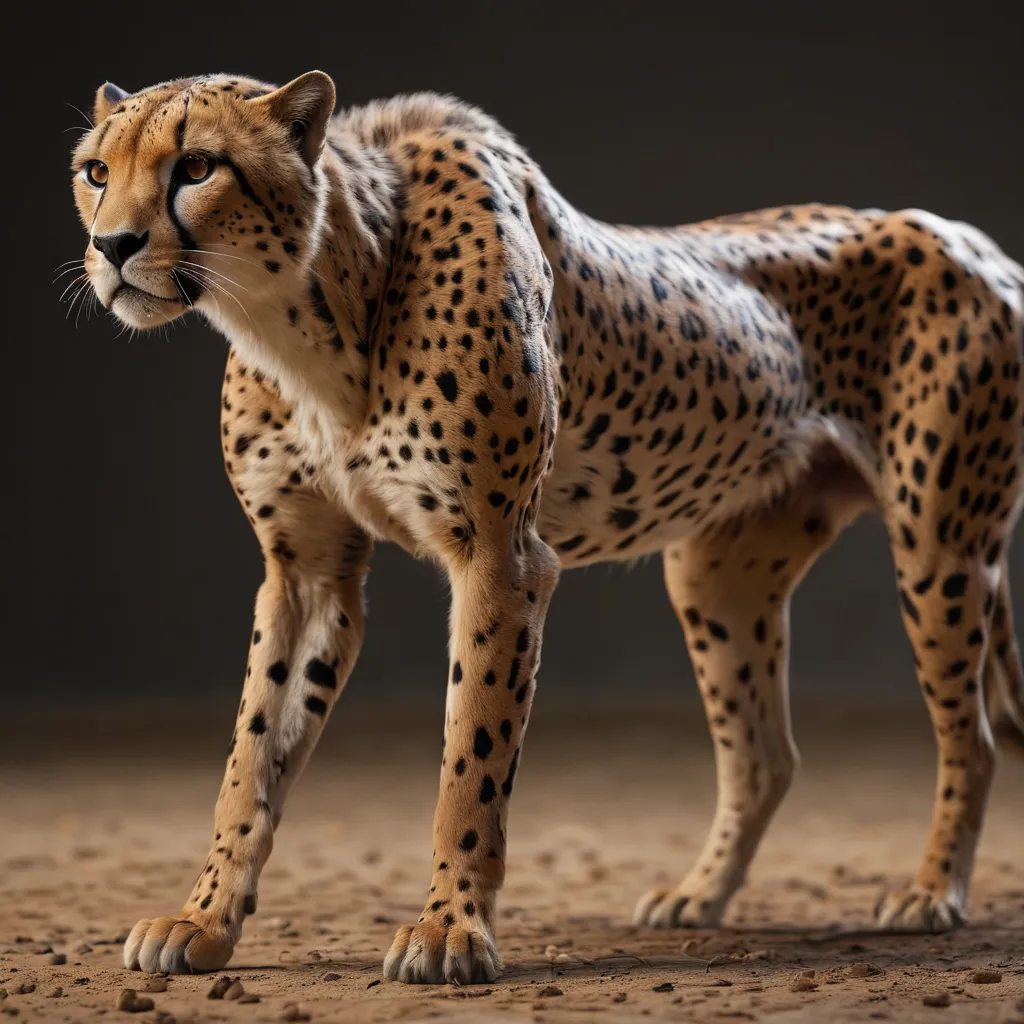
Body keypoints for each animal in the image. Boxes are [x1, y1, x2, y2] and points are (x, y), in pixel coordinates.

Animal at [68, 70, 1024, 985]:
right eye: (96, 172)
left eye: (198, 167)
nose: (112, 248)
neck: (315, 311)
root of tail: (973, 240)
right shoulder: (306, 573)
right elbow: (250, 758)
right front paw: (203, 921)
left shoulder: (502, 557)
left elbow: (471, 758)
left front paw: (450, 931)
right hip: (716, 579)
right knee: (766, 756)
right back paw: (699, 895)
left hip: (940, 548)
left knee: (972, 740)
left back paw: (931, 892)